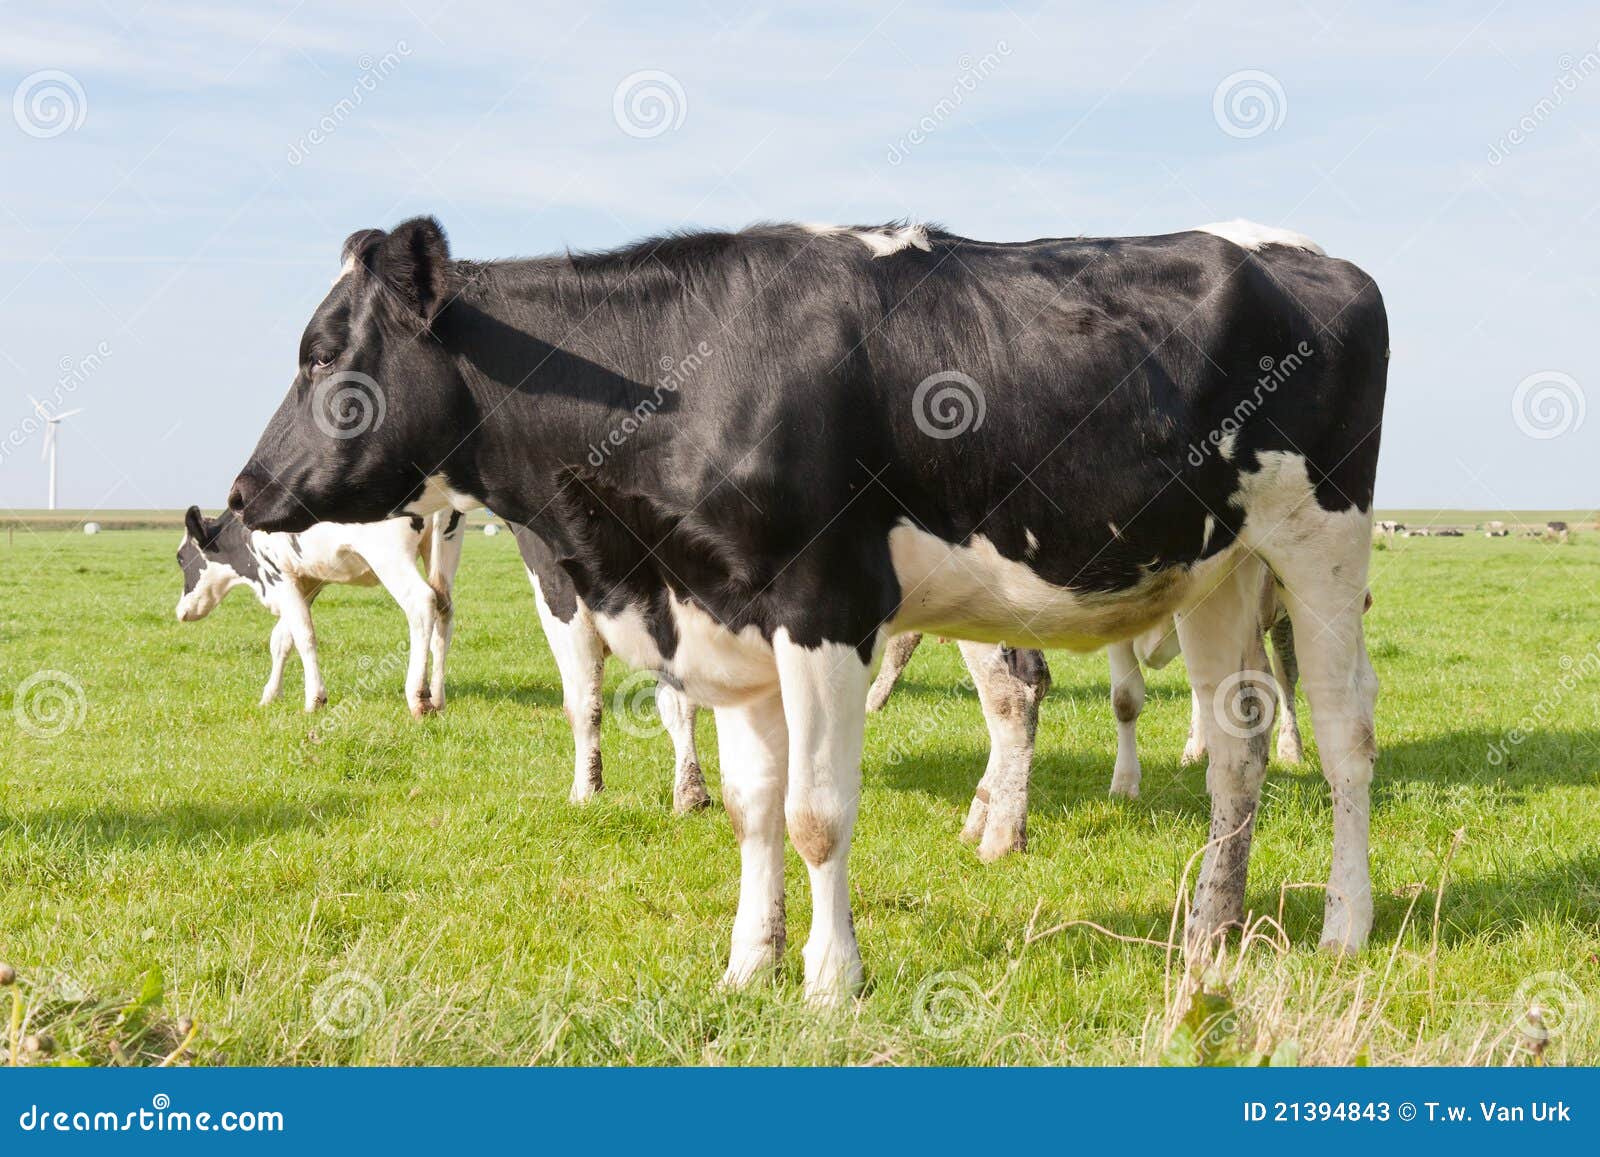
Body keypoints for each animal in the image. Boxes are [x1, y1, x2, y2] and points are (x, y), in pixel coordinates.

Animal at [175, 506, 461, 715]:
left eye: (180, 557)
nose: (180, 611)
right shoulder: (309, 581)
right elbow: (282, 639)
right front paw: (271, 695)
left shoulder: (281, 577)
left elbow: (304, 636)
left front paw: (315, 699)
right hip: (443, 550)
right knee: (444, 611)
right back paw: (438, 697)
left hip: (389, 556)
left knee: (421, 601)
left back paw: (418, 697)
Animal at [227, 215, 1389, 1002]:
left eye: (326, 356)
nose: (243, 492)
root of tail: (1312, 255)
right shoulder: (729, 617)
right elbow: (754, 808)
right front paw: (750, 962)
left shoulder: (823, 605)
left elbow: (817, 813)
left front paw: (832, 979)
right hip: (1217, 569)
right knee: (1237, 747)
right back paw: (1211, 933)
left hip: (1321, 539)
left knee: (1343, 737)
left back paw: (1344, 924)